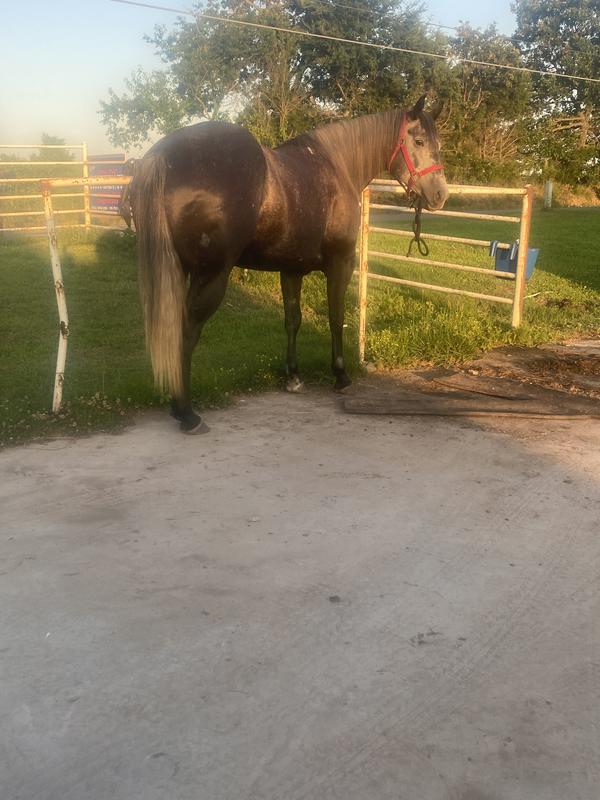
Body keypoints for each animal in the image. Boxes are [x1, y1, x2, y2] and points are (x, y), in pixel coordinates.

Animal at [129, 95, 448, 433]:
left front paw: (293, 377)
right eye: (418, 141)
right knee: (186, 333)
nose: (440, 194)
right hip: (210, 276)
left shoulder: (291, 270)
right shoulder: (341, 264)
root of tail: (163, 156)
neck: (337, 167)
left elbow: (292, 320)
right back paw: (186, 412)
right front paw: (341, 376)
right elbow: (336, 318)